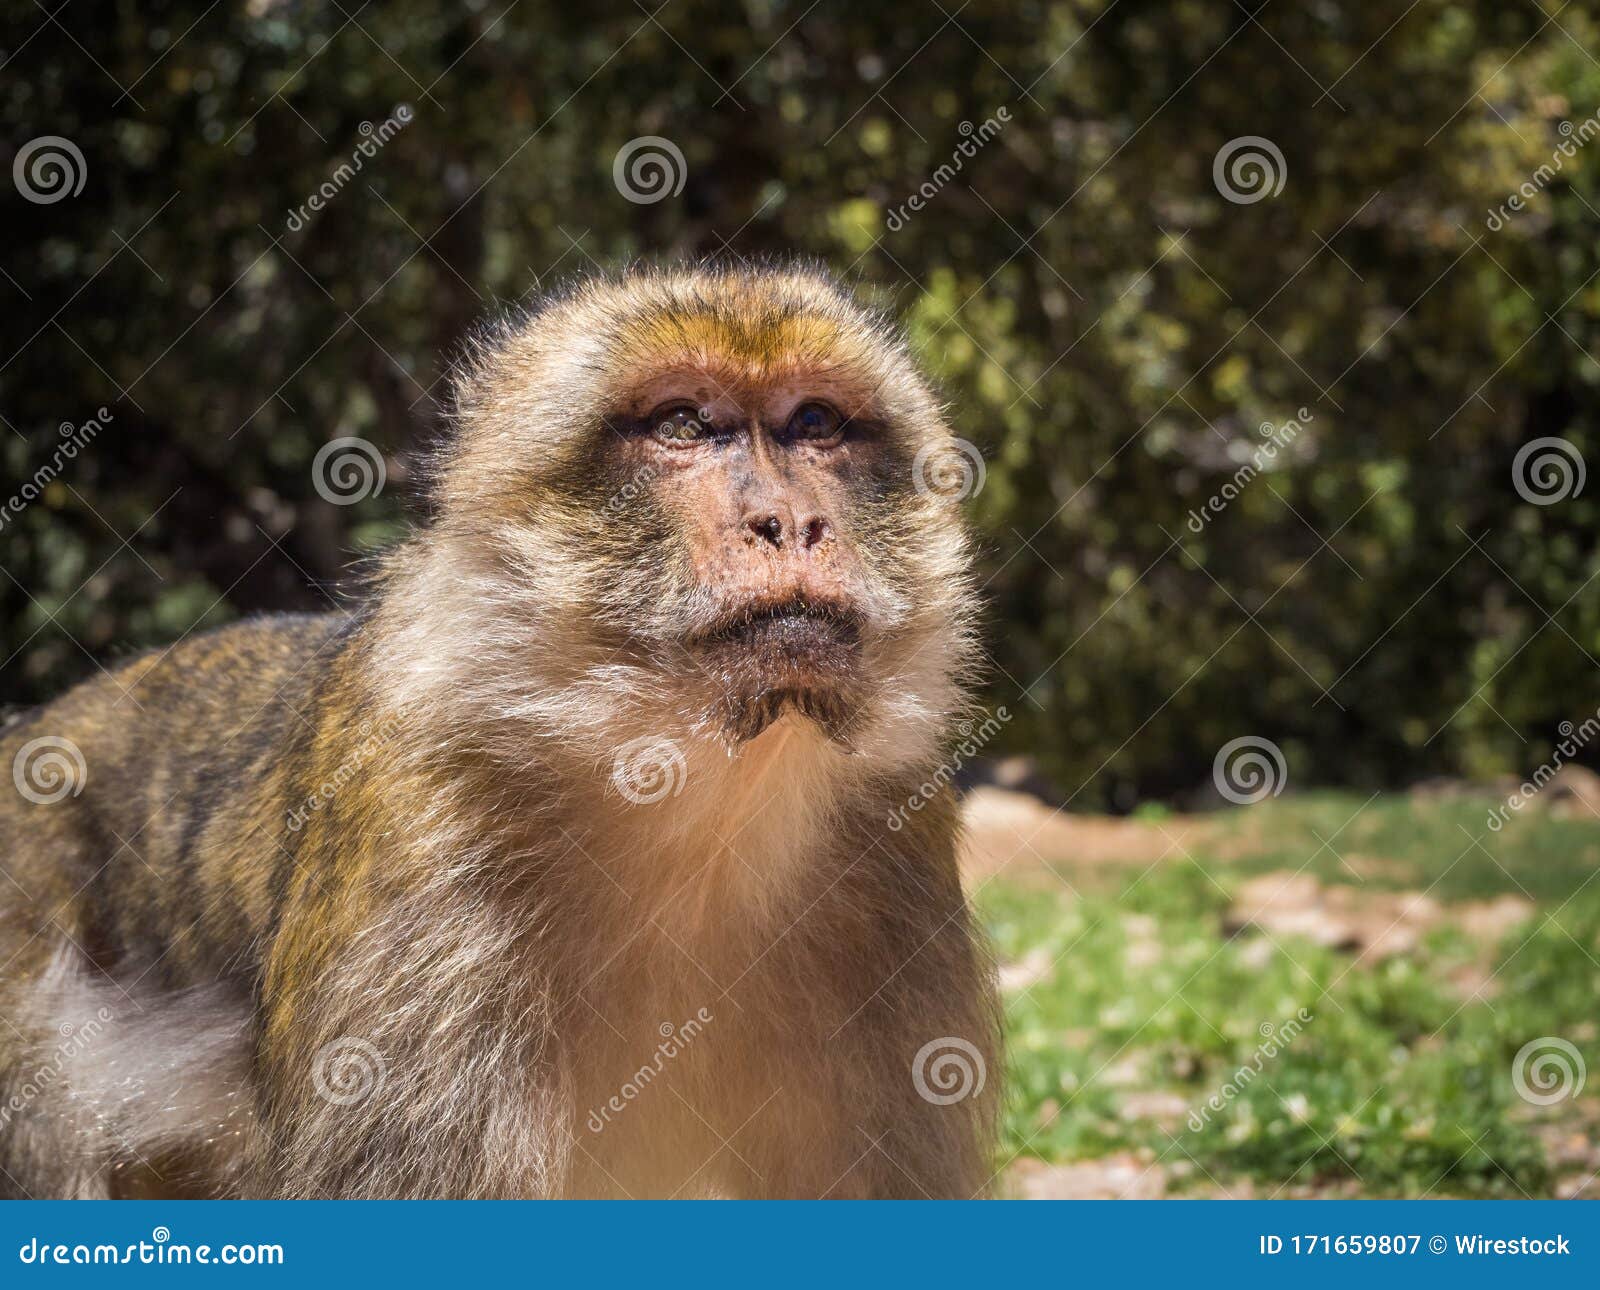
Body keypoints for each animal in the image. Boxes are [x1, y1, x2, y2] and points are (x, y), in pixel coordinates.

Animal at [0, 264, 999, 1199]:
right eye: (683, 424)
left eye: (817, 422)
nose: (791, 521)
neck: (694, 808)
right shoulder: (422, 849)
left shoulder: (896, 846)